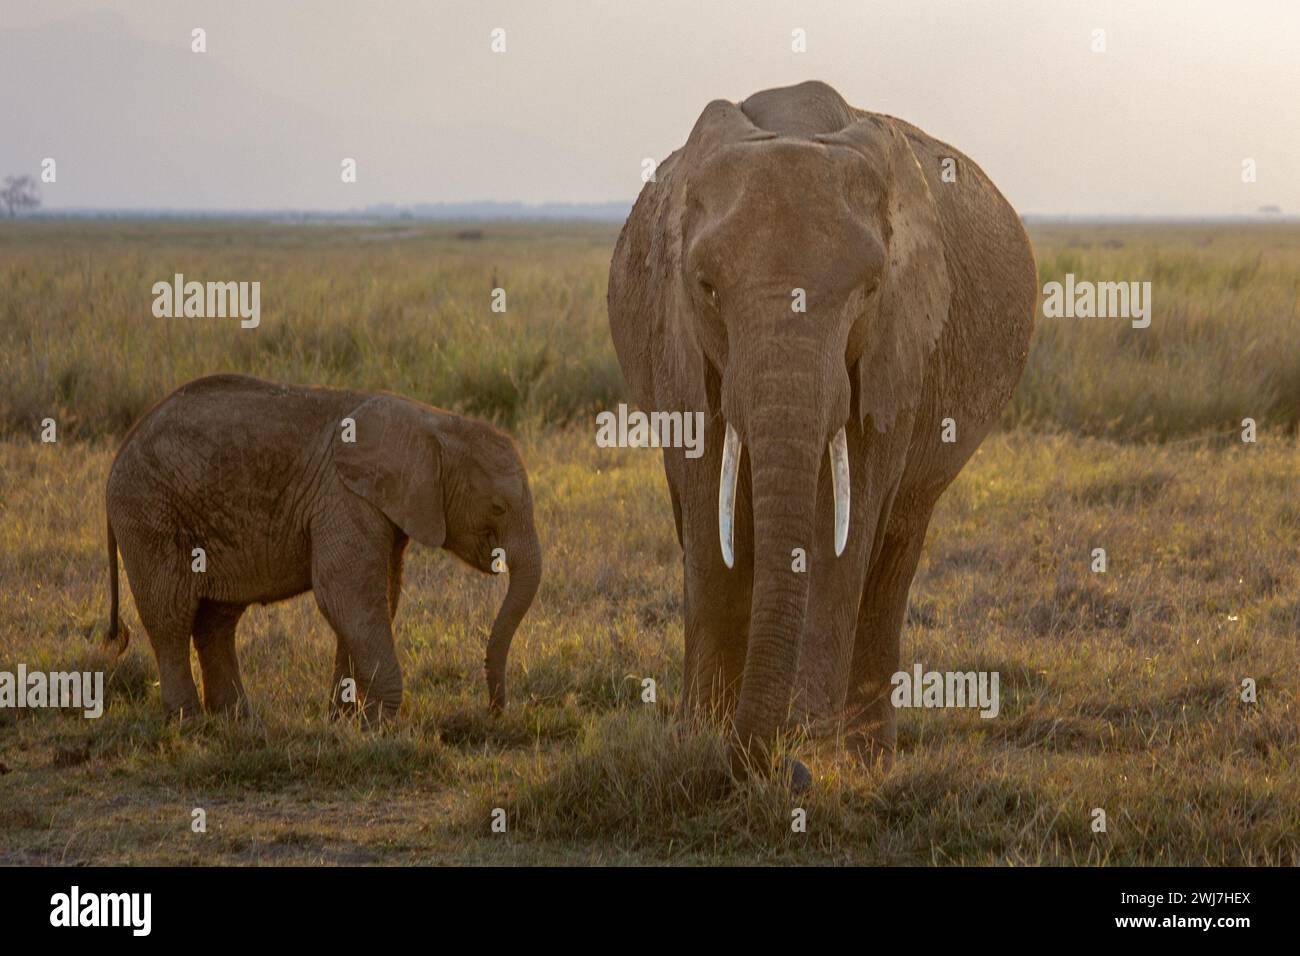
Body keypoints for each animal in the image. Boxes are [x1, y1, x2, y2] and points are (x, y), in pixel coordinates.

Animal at [102, 373, 542, 724]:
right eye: (498, 508)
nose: (494, 711)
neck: (433, 422)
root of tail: (119, 453)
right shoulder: (342, 495)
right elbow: (347, 593)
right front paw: (381, 725)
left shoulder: (377, 503)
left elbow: (376, 596)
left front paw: (343, 722)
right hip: (149, 513)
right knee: (170, 616)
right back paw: (191, 724)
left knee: (217, 619)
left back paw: (238, 723)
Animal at [607, 81, 1036, 782]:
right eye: (706, 287)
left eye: (869, 289)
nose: (770, 763)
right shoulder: (678, 348)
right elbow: (709, 520)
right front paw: (702, 743)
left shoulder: (895, 352)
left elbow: (844, 527)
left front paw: (805, 744)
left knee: (894, 551)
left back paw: (866, 760)